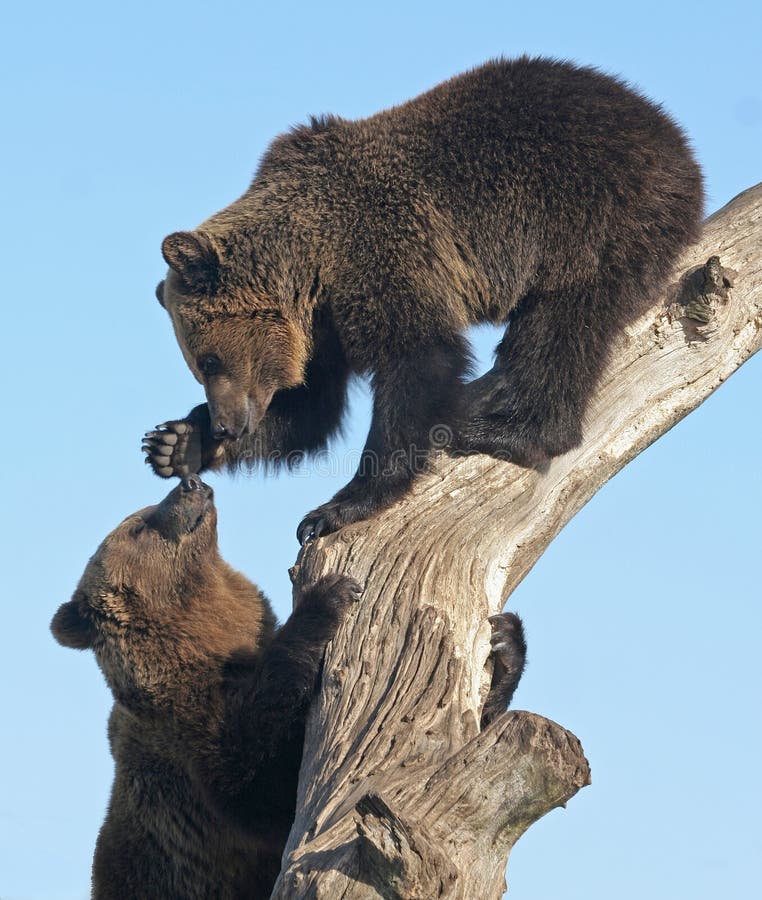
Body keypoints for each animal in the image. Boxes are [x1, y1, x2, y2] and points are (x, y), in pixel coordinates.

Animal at [51, 475, 527, 899]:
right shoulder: (192, 745)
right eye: (138, 525)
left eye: (143, 514)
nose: (191, 482)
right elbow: (256, 780)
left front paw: (505, 643)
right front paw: (329, 595)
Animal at [142, 56, 703, 544]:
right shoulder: (325, 326)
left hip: (597, 217)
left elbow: (417, 357)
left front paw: (337, 507)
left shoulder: (381, 248)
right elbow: (313, 409)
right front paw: (177, 443)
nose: (226, 423)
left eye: (209, 359)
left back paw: (502, 430)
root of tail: (672, 132)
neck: (310, 260)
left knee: (561, 325)